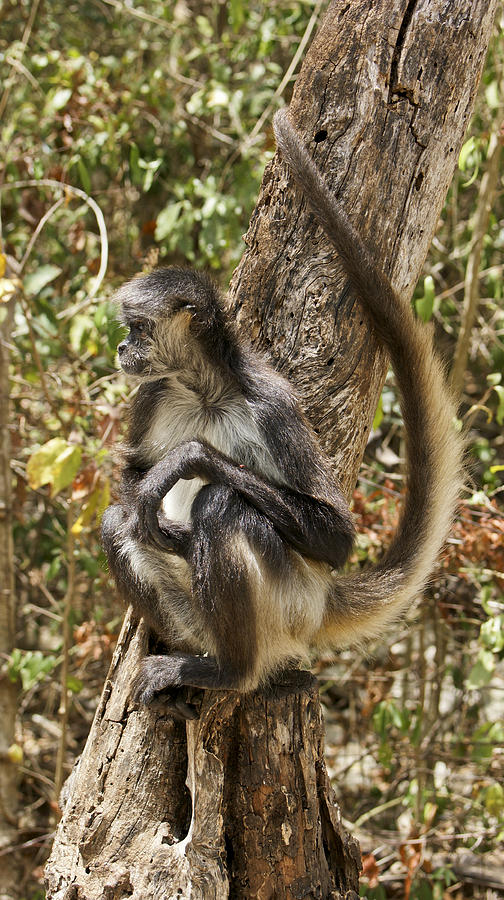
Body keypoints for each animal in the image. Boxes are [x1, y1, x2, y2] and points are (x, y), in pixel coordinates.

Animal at [101, 109, 463, 713]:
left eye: (138, 328)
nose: (123, 349)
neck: (206, 392)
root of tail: (321, 602)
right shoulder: (153, 391)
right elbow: (133, 478)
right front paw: (149, 501)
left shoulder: (272, 403)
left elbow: (335, 535)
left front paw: (188, 458)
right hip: (201, 610)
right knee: (118, 523)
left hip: (289, 603)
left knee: (224, 506)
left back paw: (232, 674)